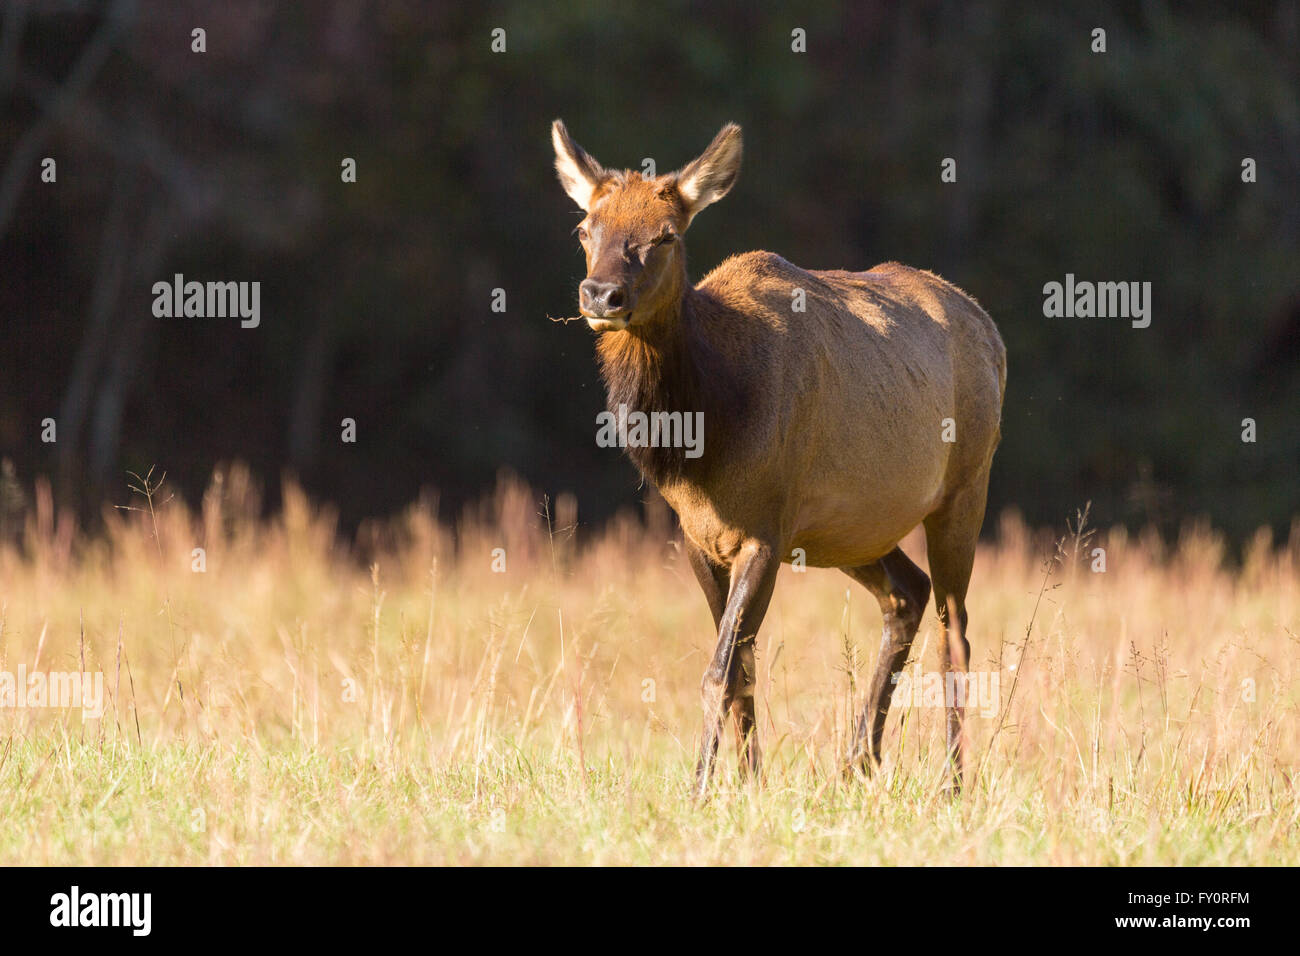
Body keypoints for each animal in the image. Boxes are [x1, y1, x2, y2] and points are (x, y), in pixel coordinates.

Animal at [551, 119, 1006, 799]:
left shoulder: (764, 530)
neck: (708, 429)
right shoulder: (699, 536)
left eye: (666, 234)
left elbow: (718, 671)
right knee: (908, 592)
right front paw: (749, 783)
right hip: (850, 529)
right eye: (586, 228)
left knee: (959, 630)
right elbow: (740, 666)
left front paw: (700, 788)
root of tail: (992, 333)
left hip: (964, 488)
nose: (601, 294)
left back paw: (951, 781)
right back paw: (857, 759)